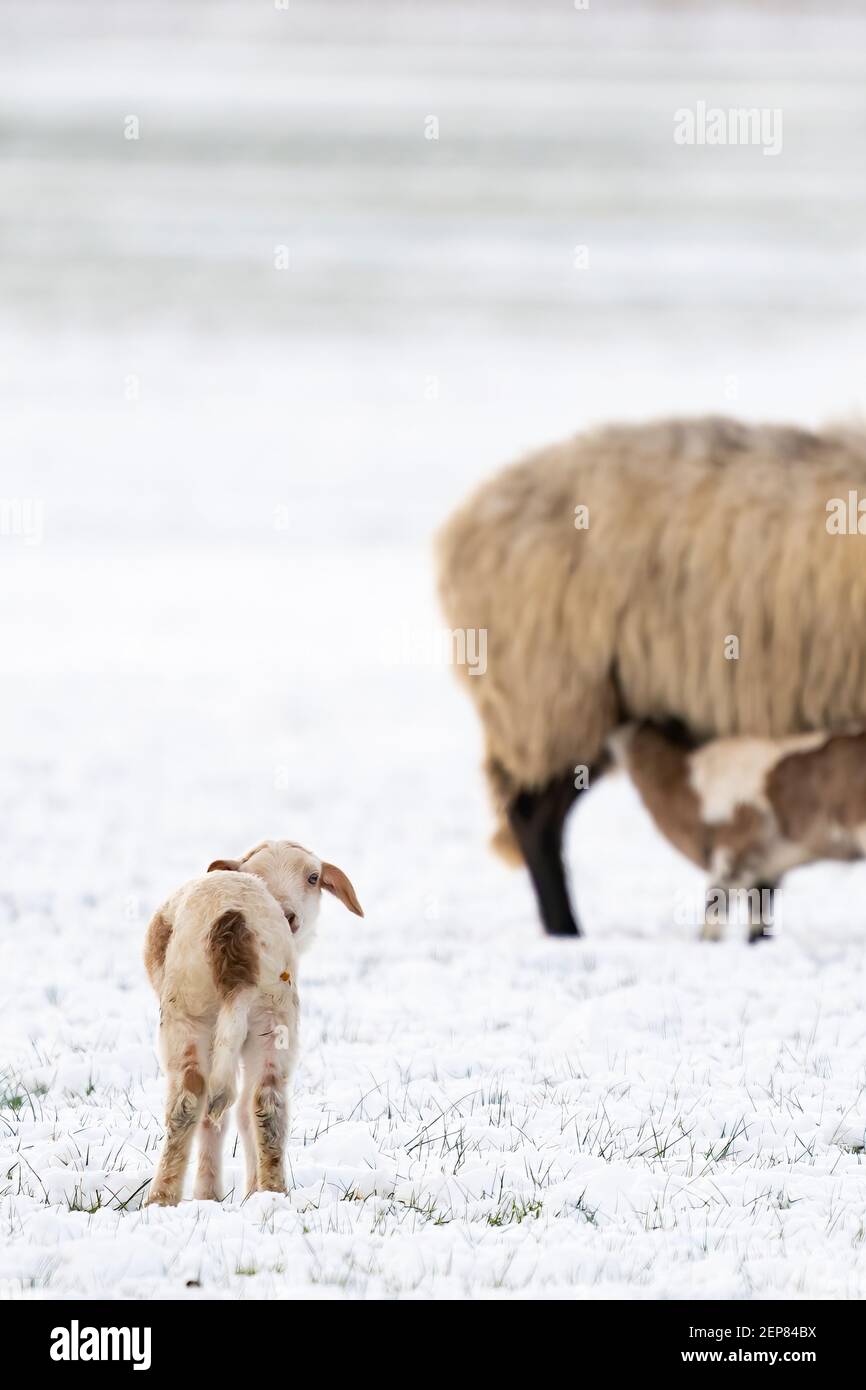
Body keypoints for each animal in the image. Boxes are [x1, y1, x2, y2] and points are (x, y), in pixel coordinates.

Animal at [143, 840, 363, 1206]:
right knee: (259, 1101)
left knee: (201, 1100)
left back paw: (166, 1196)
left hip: (191, 1009)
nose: (289, 915)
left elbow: (220, 1115)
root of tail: (234, 923)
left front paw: (209, 1195)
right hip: (270, 1010)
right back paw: (268, 1193)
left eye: (313, 877)